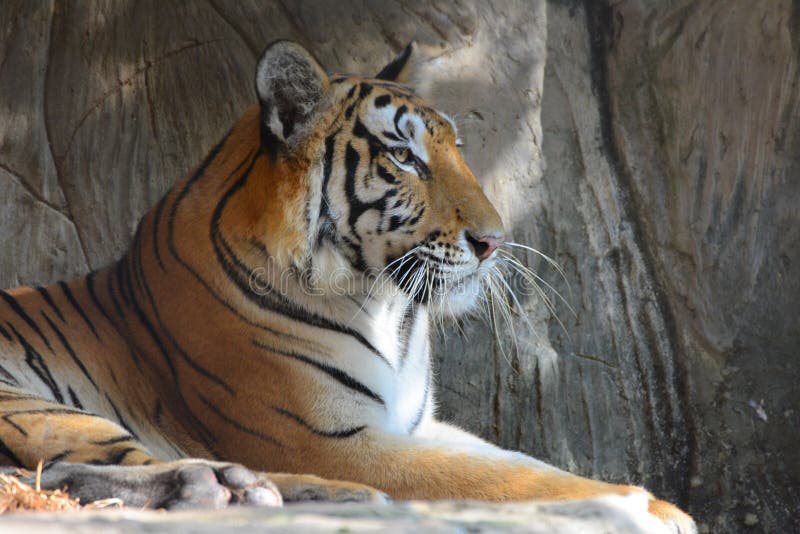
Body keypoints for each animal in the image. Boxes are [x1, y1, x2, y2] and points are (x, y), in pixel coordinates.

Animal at [0, 40, 695, 531]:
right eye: (405, 157)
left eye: (457, 149)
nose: (495, 241)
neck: (387, 309)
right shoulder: (329, 439)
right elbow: (508, 480)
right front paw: (649, 509)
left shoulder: (416, 425)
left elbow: (524, 464)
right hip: (34, 405)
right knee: (83, 470)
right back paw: (283, 493)